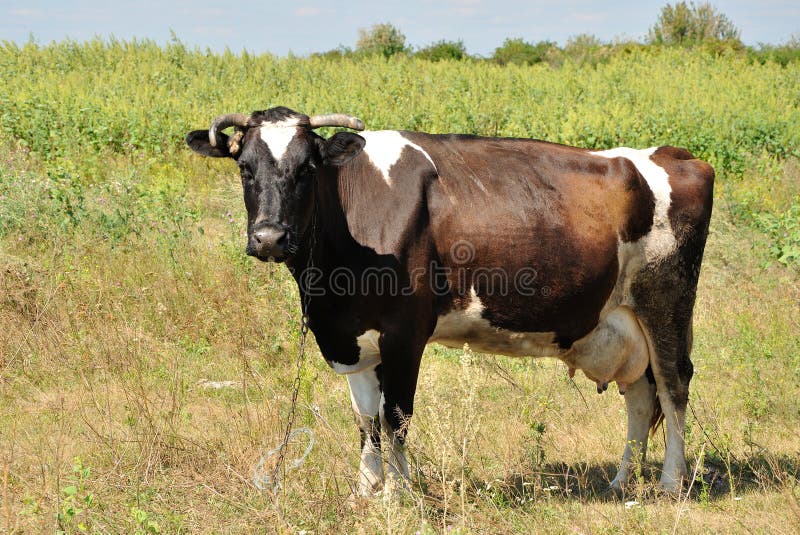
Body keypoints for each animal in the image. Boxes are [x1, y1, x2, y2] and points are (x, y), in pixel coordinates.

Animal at [185, 106, 714, 496]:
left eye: (306, 169)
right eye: (244, 168)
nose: (269, 238)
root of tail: (678, 155)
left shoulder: (405, 333)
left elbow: (395, 416)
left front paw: (400, 493)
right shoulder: (349, 336)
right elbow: (365, 418)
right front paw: (365, 490)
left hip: (666, 299)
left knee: (674, 383)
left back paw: (670, 484)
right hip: (621, 320)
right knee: (641, 396)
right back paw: (621, 483)